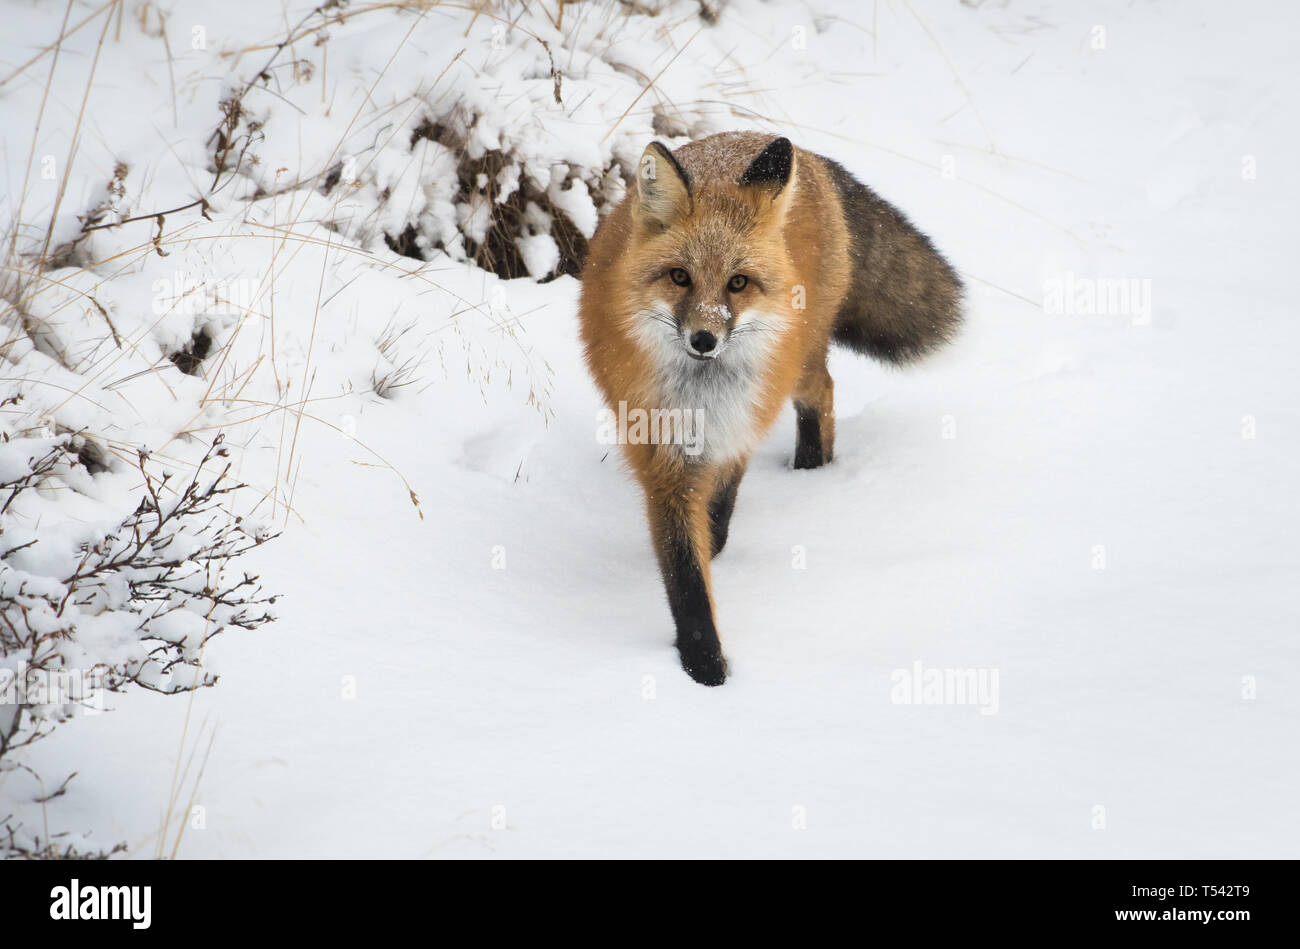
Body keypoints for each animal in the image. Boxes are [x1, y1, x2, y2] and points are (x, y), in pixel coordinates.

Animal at [578, 131, 962, 685]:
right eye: (679, 277)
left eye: (737, 283)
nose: (704, 339)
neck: (704, 401)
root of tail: (797, 146)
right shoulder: (664, 461)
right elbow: (685, 574)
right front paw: (703, 663)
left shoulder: (738, 425)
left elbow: (718, 508)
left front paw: (705, 665)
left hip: (796, 366)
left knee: (824, 390)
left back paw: (812, 467)